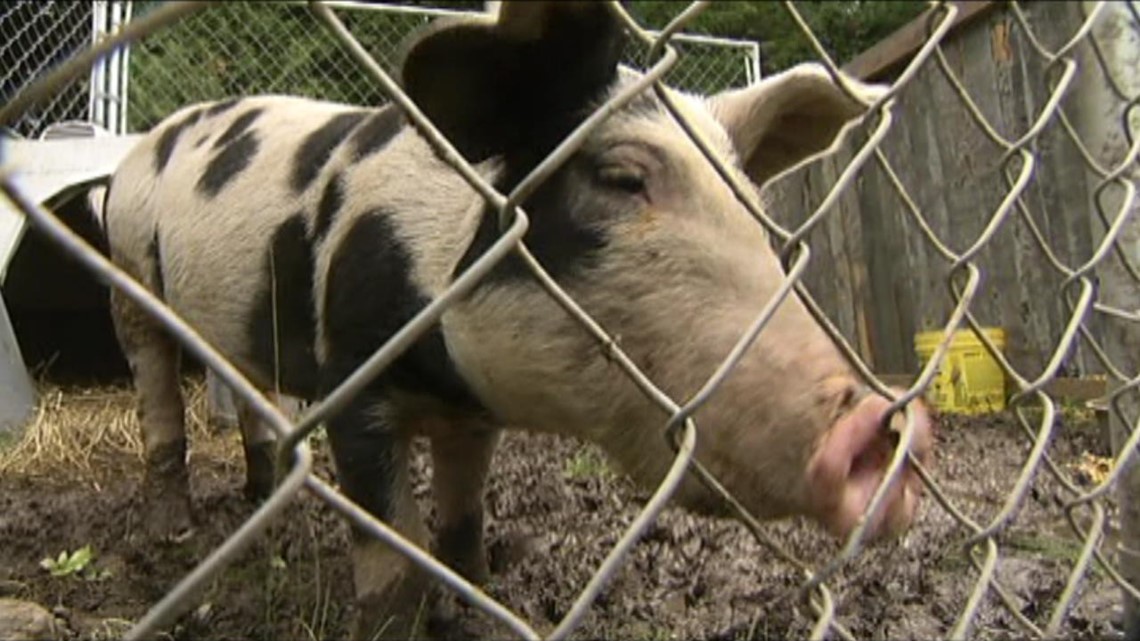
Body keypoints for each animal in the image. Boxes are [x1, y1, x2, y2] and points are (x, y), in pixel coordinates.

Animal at [99, 1, 934, 638]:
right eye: (621, 178)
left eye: (755, 211)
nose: (885, 420)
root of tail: (148, 141)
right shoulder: (352, 378)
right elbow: (392, 557)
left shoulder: (473, 413)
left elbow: (464, 528)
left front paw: (469, 615)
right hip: (130, 273)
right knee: (158, 398)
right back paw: (173, 530)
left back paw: (259, 496)